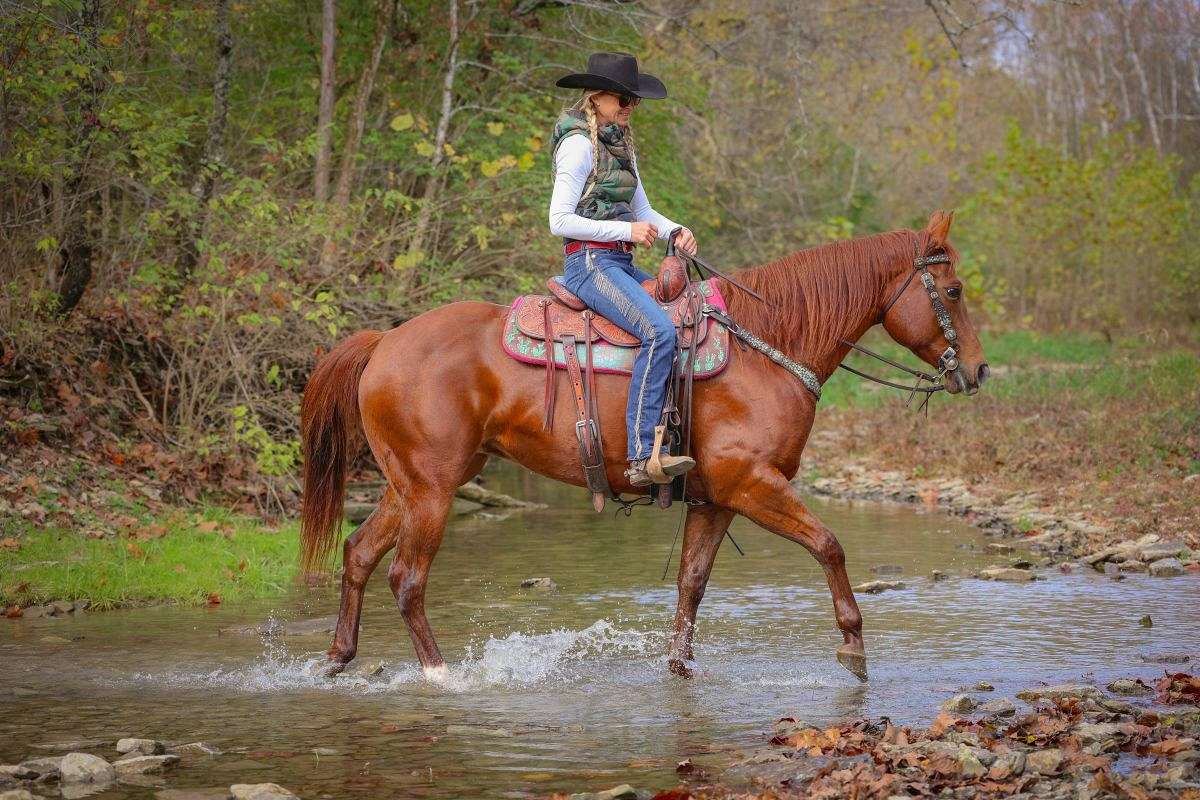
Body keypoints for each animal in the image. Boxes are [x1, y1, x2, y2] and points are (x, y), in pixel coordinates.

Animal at [299, 210, 988, 683]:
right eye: (953, 292)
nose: (978, 371)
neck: (766, 346)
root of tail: (383, 342)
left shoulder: (715, 500)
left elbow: (691, 585)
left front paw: (679, 672)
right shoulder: (751, 483)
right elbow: (829, 545)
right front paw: (852, 645)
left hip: (413, 485)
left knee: (359, 554)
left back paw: (337, 658)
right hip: (433, 490)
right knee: (406, 578)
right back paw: (440, 675)